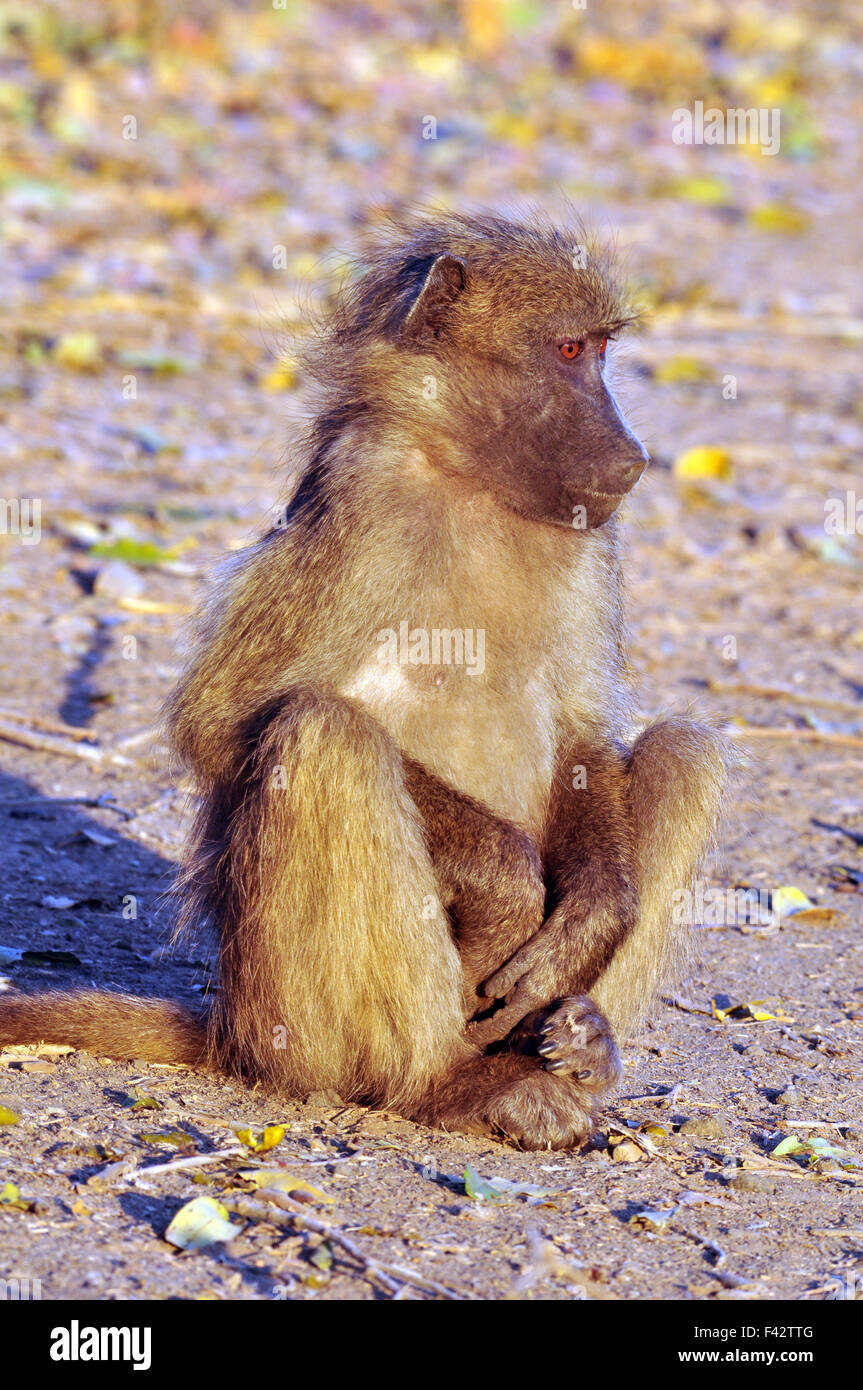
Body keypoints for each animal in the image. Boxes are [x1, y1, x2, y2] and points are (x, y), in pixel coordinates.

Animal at [0, 211, 732, 1150]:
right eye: (571, 350)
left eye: (602, 351)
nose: (632, 454)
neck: (464, 476)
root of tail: (231, 1027)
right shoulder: (358, 500)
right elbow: (225, 717)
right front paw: (508, 890)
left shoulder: (590, 535)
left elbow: (581, 729)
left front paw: (594, 912)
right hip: (292, 1014)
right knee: (325, 737)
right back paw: (449, 1084)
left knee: (684, 752)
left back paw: (578, 1046)